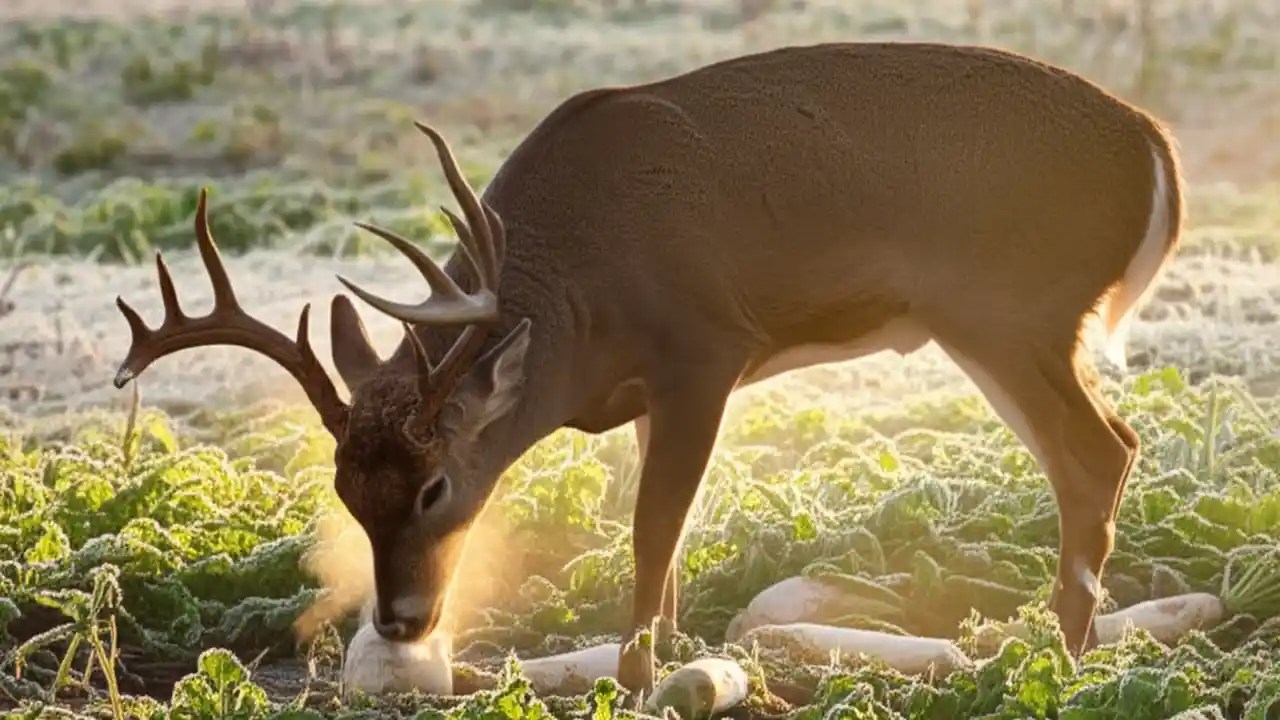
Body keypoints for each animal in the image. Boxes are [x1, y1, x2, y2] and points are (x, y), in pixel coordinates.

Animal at [111, 41, 1184, 696]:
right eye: (345, 490)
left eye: (434, 487)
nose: (406, 622)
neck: (580, 291)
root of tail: (1156, 148)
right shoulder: (635, 395)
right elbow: (661, 539)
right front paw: (667, 658)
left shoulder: (704, 350)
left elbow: (651, 529)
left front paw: (634, 681)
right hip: (1011, 324)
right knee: (1113, 444)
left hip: (1011, 310)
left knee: (1098, 454)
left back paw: (1060, 656)